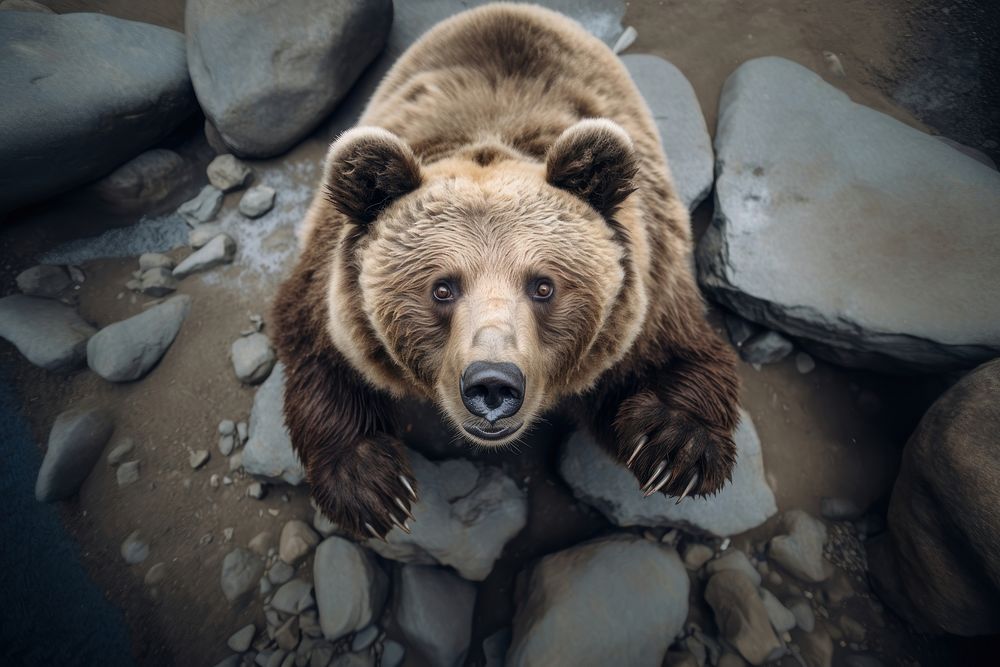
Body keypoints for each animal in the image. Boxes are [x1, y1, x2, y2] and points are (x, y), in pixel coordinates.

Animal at [272, 3, 741, 539]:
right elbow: (319, 351)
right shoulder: (335, 289)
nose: (493, 384)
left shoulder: (645, 288)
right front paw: (370, 486)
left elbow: (673, 353)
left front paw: (677, 448)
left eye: (544, 286)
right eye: (442, 288)